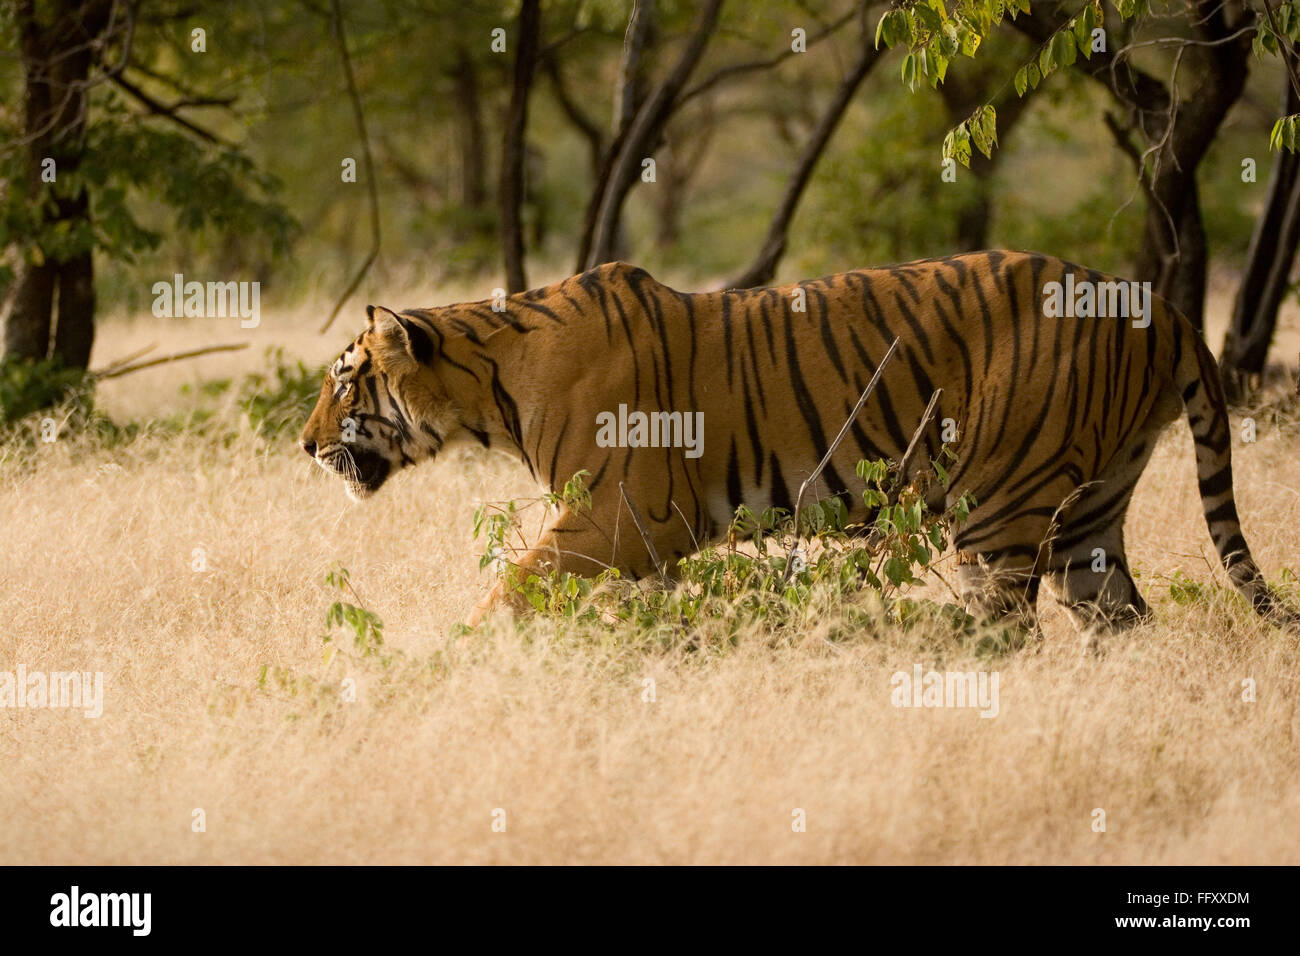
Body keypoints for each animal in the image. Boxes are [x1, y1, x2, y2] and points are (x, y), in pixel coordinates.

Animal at [300, 251, 1299, 637]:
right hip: (1089, 516)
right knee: (1122, 619)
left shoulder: (620, 519)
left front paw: (452, 665)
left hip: (1001, 507)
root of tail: (1157, 305)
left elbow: (510, 591)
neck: (490, 385)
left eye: (345, 381)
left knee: (1006, 634)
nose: (306, 448)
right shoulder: (641, 542)